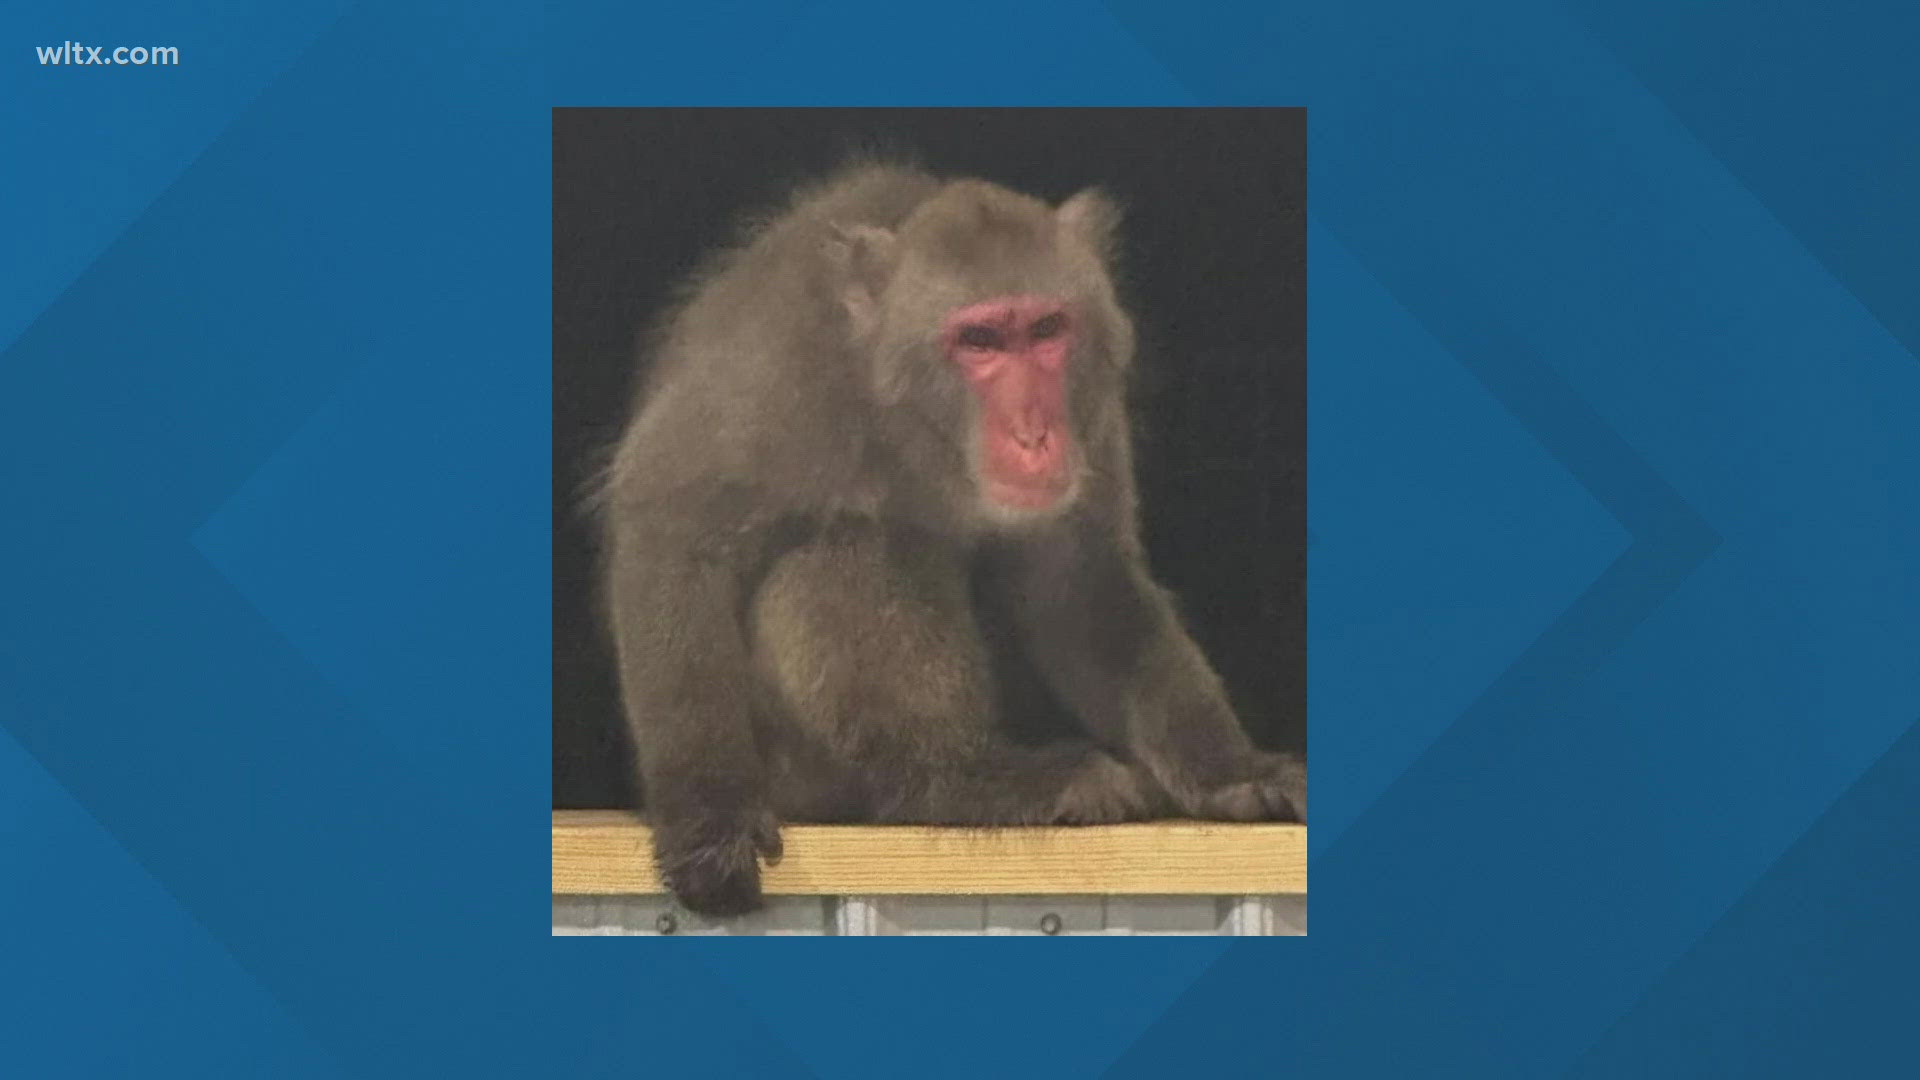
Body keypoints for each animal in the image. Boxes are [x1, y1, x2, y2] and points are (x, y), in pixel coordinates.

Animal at [597, 163, 1304, 916]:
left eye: (1046, 329)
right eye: (980, 341)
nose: (1033, 434)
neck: (920, 431)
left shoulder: (1091, 410)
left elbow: (1083, 581)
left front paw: (1230, 768)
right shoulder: (773, 371)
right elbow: (671, 528)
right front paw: (708, 813)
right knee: (855, 547)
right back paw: (958, 780)